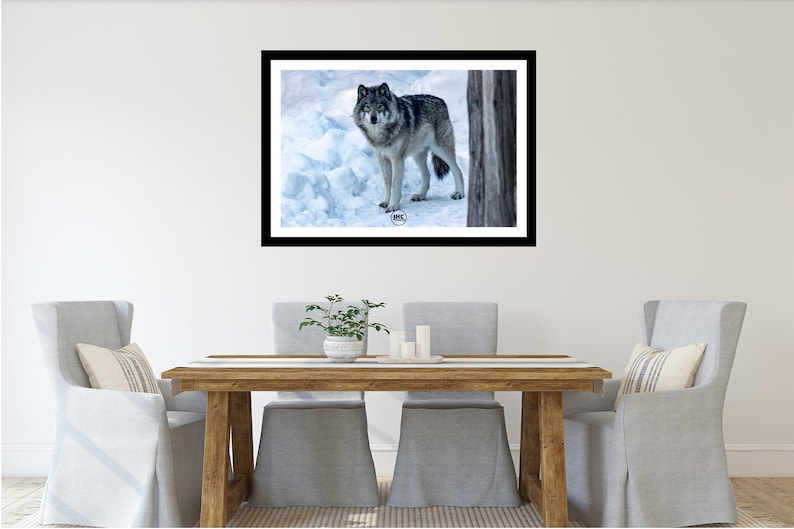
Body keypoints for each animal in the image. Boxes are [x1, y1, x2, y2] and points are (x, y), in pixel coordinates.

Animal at [353, 83, 465, 213]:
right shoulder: (382, 159)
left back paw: (459, 193)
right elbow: (387, 184)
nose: (373, 118)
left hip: (440, 149)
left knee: (457, 170)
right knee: (427, 175)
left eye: (380, 106)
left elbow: (394, 185)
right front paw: (386, 202)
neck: (381, 135)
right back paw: (420, 195)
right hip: (417, 155)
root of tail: (442, 101)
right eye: (367, 106)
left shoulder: (397, 160)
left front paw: (393, 206)